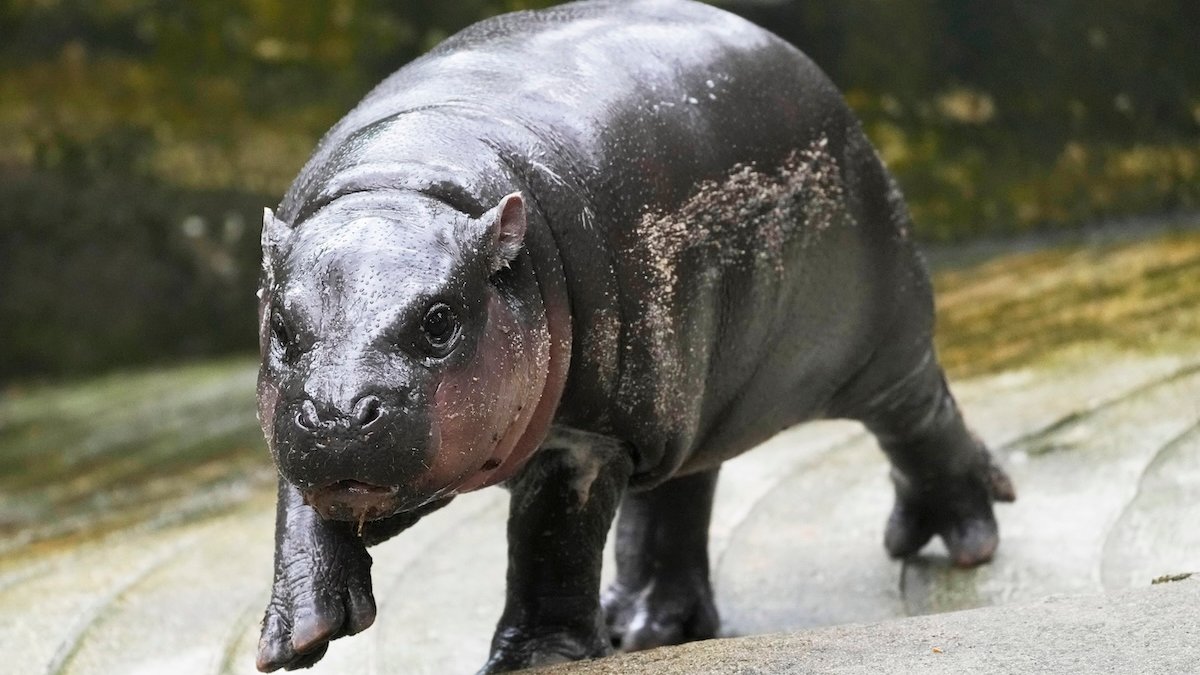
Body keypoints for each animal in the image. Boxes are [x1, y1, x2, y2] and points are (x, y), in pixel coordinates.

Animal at [254, 0, 1016, 671]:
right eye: (281, 325)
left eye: (440, 321)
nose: (337, 414)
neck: (405, 185)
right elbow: (299, 506)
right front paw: (299, 635)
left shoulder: (592, 433)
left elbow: (553, 540)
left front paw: (536, 660)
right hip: (691, 393)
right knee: (677, 495)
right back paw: (648, 625)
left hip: (875, 340)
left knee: (919, 415)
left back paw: (961, 538)